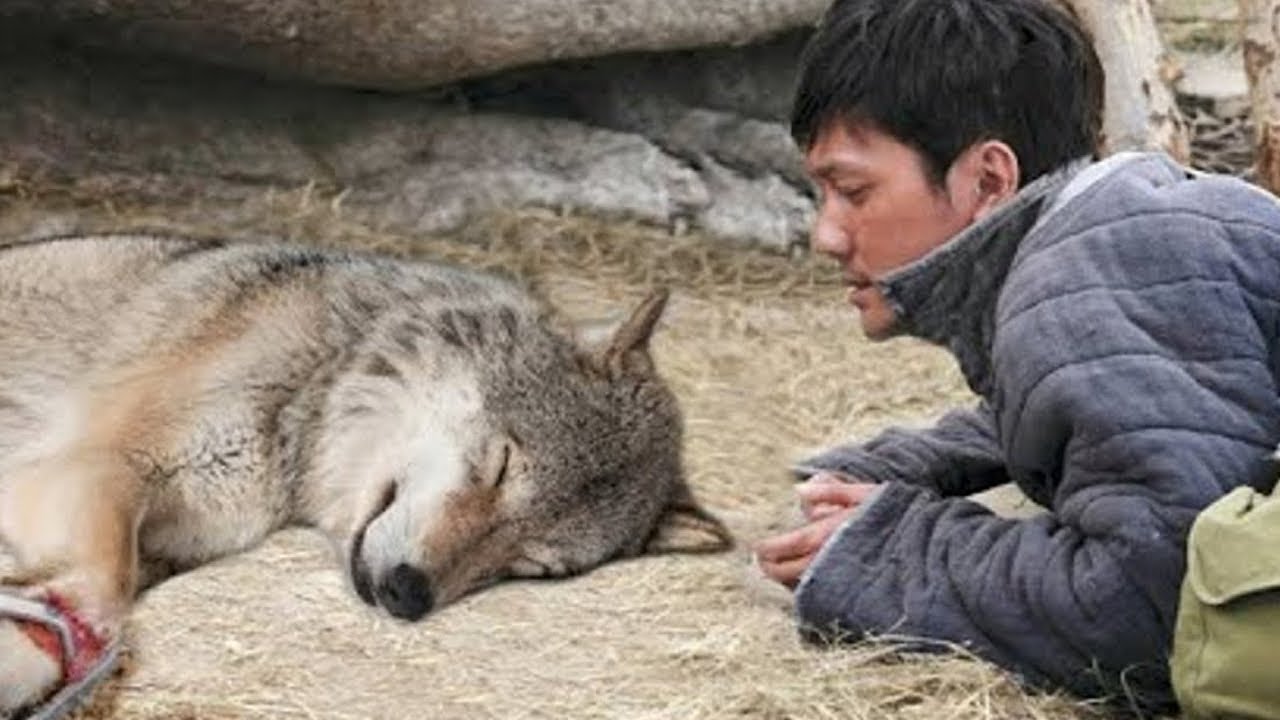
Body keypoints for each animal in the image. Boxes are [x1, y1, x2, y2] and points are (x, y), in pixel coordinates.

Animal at [0, 234, 731, 715]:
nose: (410, 595)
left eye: (532, 567)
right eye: (501, 467)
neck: (319, 380)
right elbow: (103, 591)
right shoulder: (88, 466)